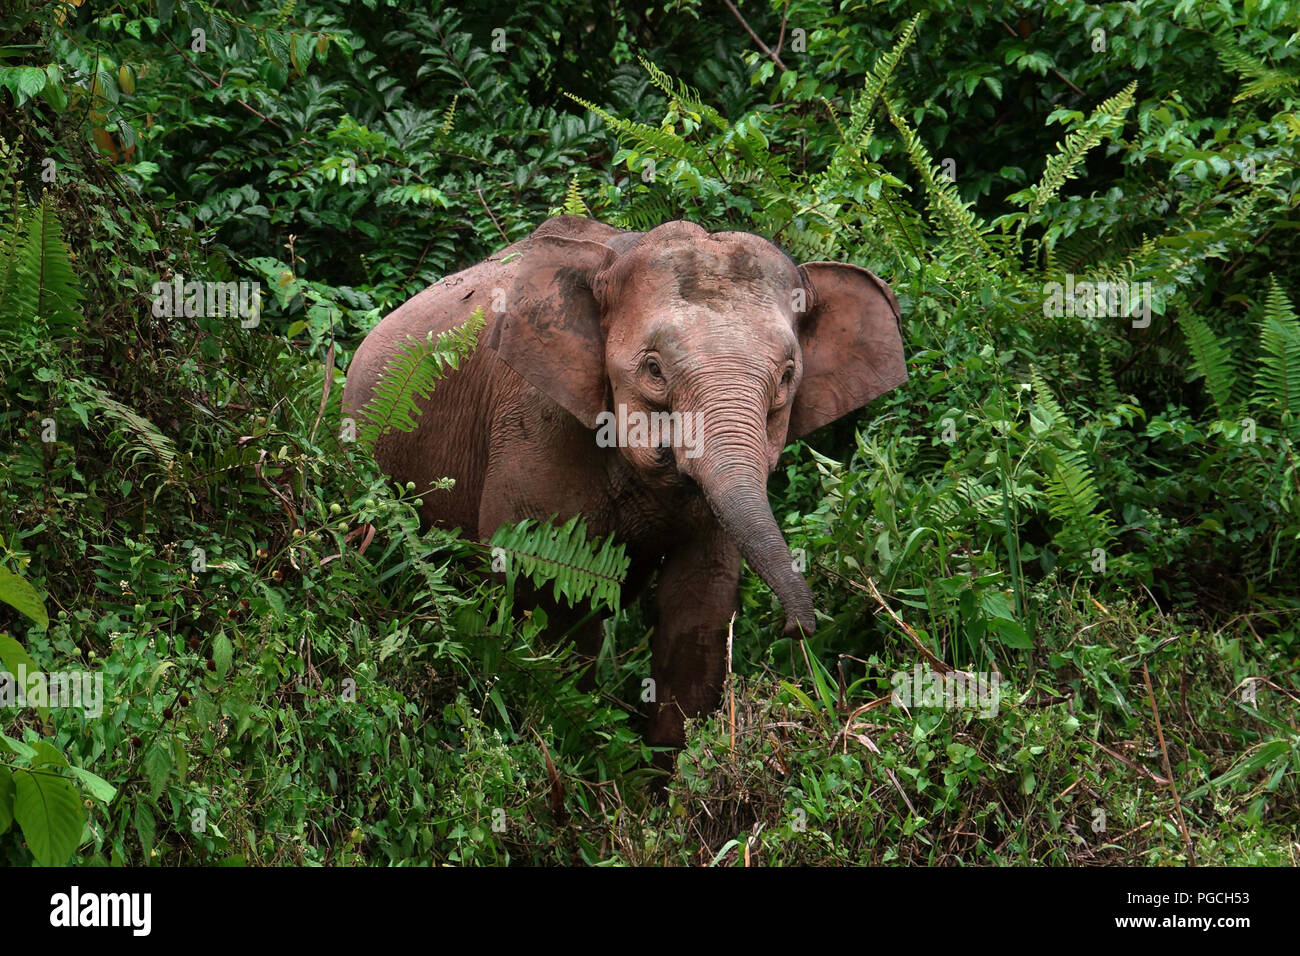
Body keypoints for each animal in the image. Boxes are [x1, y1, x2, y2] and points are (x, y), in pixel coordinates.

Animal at [342, 215, 906, 748]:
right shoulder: (534, 422)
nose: (799, 630)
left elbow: (698, 604)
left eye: (787, 376)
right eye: (653, 369)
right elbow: (544, 589)